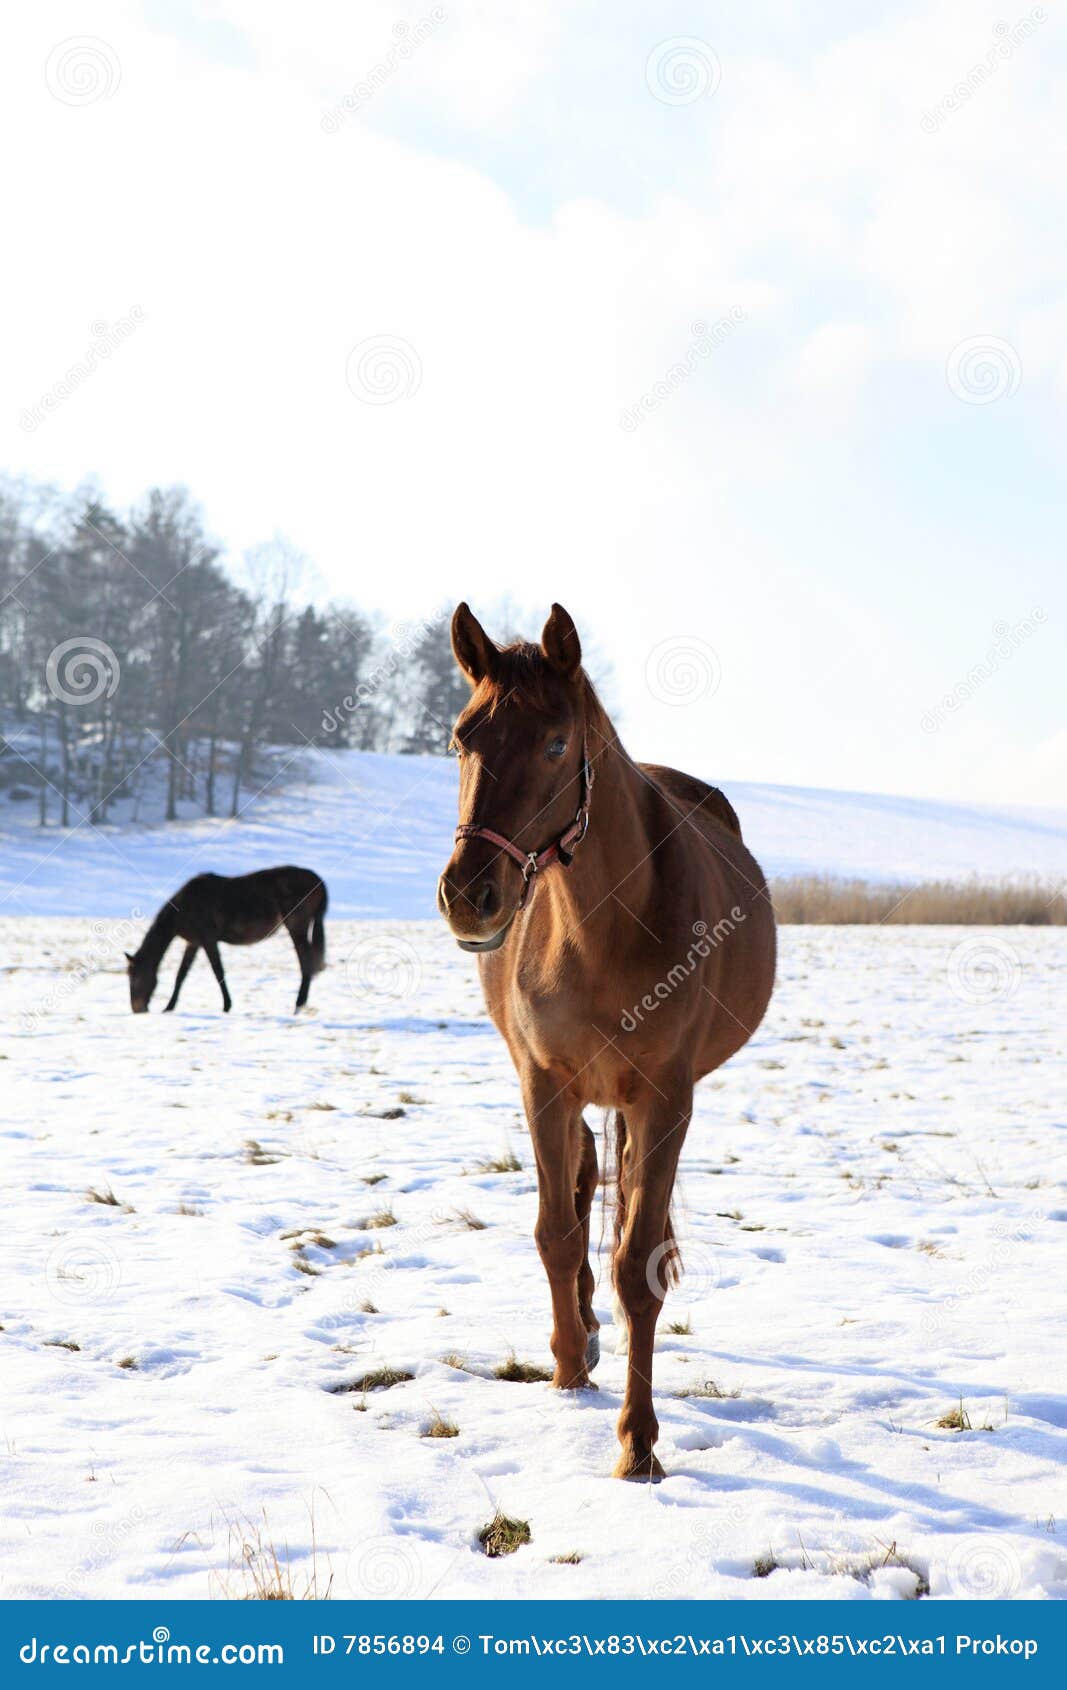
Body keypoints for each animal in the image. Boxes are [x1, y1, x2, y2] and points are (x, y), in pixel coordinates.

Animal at [125, 866, 328, 1015]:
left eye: (135, 977)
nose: (137, 1009)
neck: (185, 906)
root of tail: (318, 881)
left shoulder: (208, 940)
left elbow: (218, 972)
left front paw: (227, 1006)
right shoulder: (194, 943)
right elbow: (181, 975)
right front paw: (169, 1007)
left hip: (297, 929)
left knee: (305, 963)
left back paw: (298, 1004)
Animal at [437, 603, 776, 1480]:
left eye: (556, 744)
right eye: (460, 739)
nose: (469, 895)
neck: (596, 935)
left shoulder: (664, 1099)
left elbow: (637, 1262)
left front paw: (638, 1443)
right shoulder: (543, 1085)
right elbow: (556, 1232)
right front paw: (566, 1367)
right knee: (587, 1177)